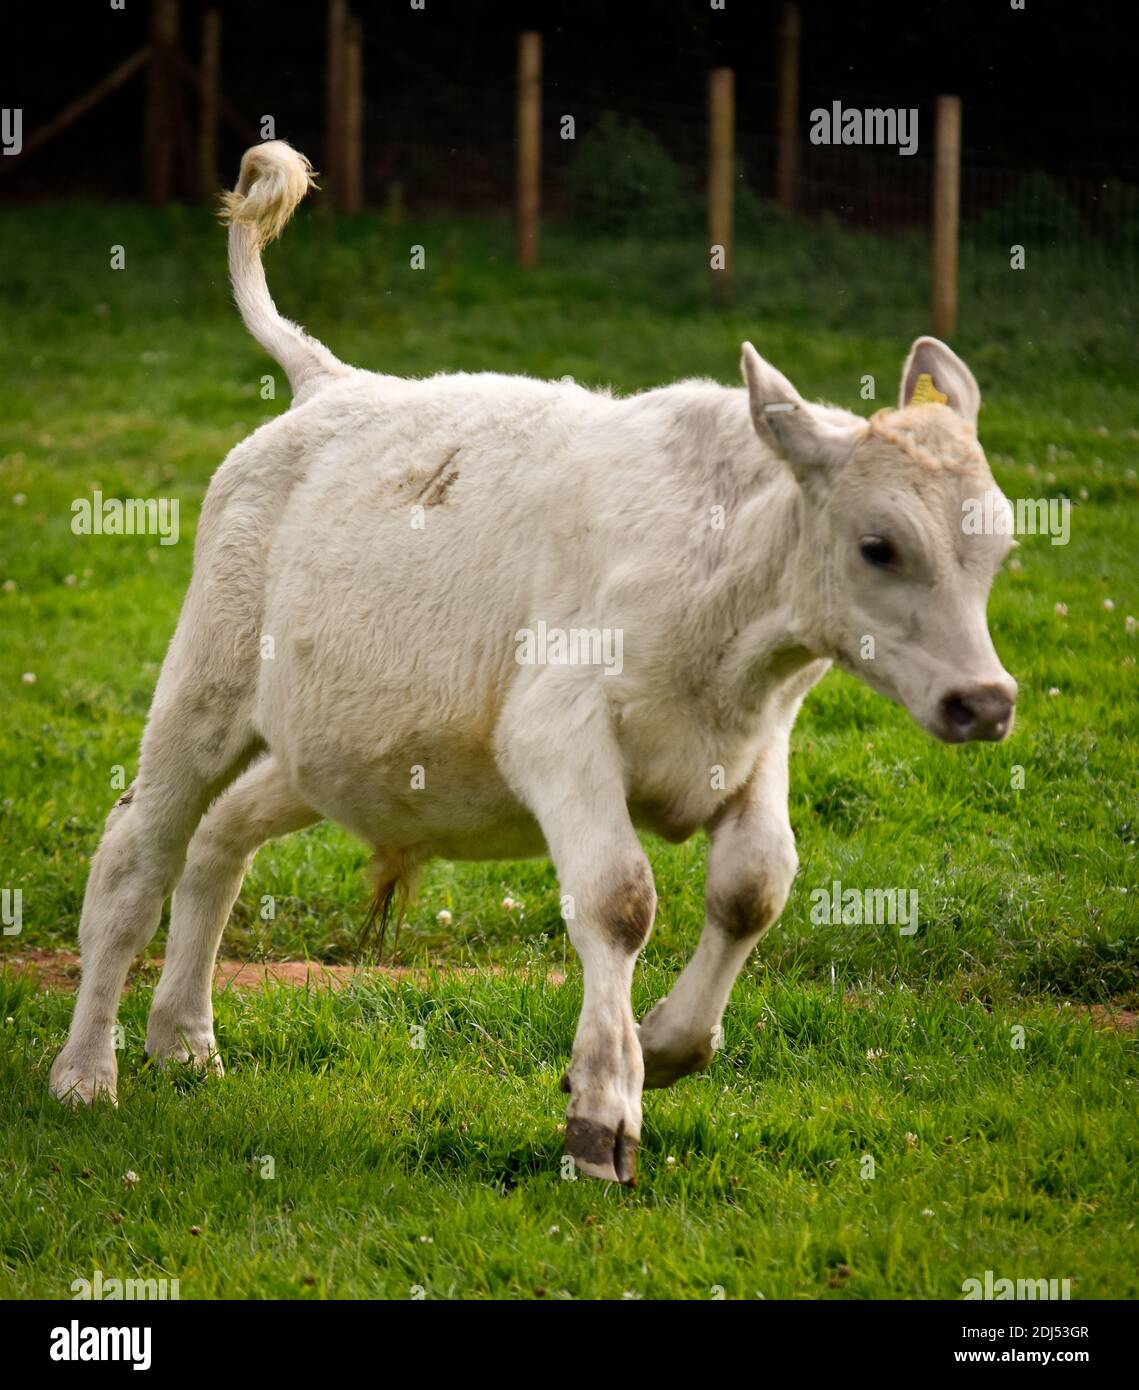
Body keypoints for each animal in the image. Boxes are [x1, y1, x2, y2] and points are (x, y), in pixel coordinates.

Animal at [50, 142, 1017, 1184]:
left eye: (999, 548)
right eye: (879, 546)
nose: (984, 701)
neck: (725, 609)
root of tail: (335, 384)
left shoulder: (756, 742)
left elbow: (753, 887)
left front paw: (664, 1045)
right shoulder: (556, 730)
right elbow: (619, 900)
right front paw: (603, 1111)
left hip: (339, 752)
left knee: (222, 838)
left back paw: (185, 1039)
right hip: (204, 689)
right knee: (136, 855)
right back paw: (86, 1073)